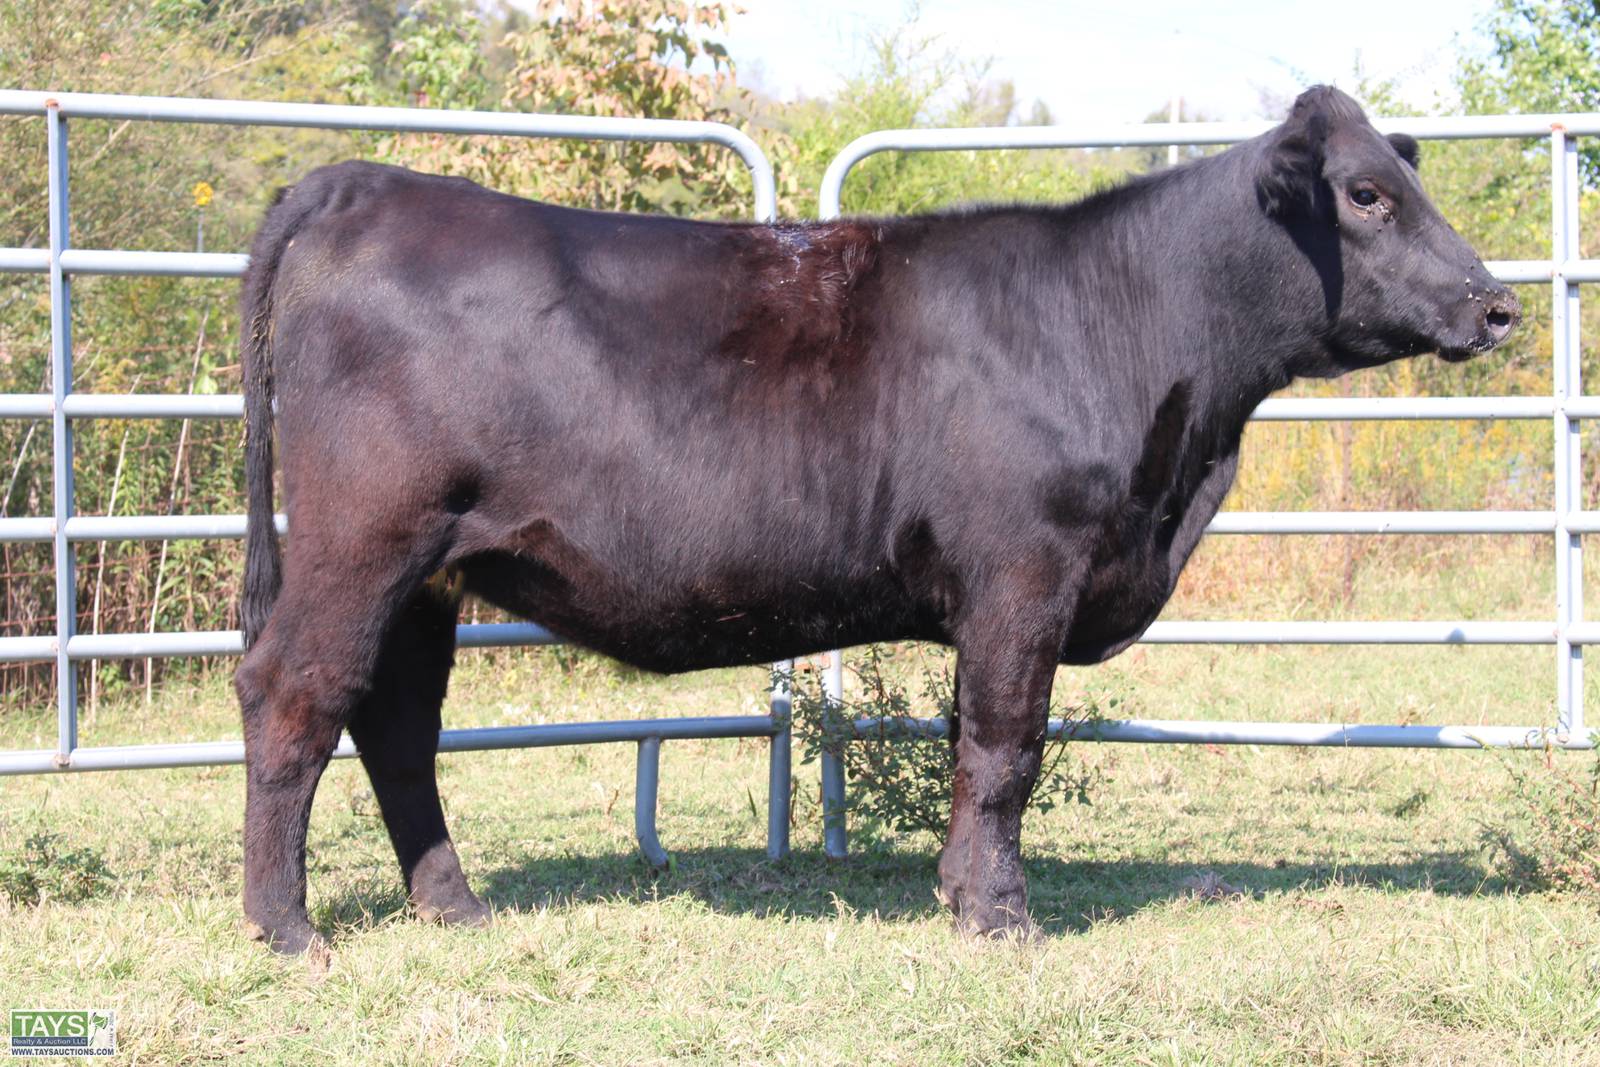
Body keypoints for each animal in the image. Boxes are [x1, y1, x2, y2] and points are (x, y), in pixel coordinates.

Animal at [234, 86, 1520, 954]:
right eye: (1365, 194)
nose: (1497, 302)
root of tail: (365, 182)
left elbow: (976, 747)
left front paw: (963, 893)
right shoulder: (1024, 571)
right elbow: (1003, 747)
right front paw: (996, 914)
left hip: (430, 574)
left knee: (396, 721)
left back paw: (454, 905)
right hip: (365, 539)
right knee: (296, 689)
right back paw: (286, 926)